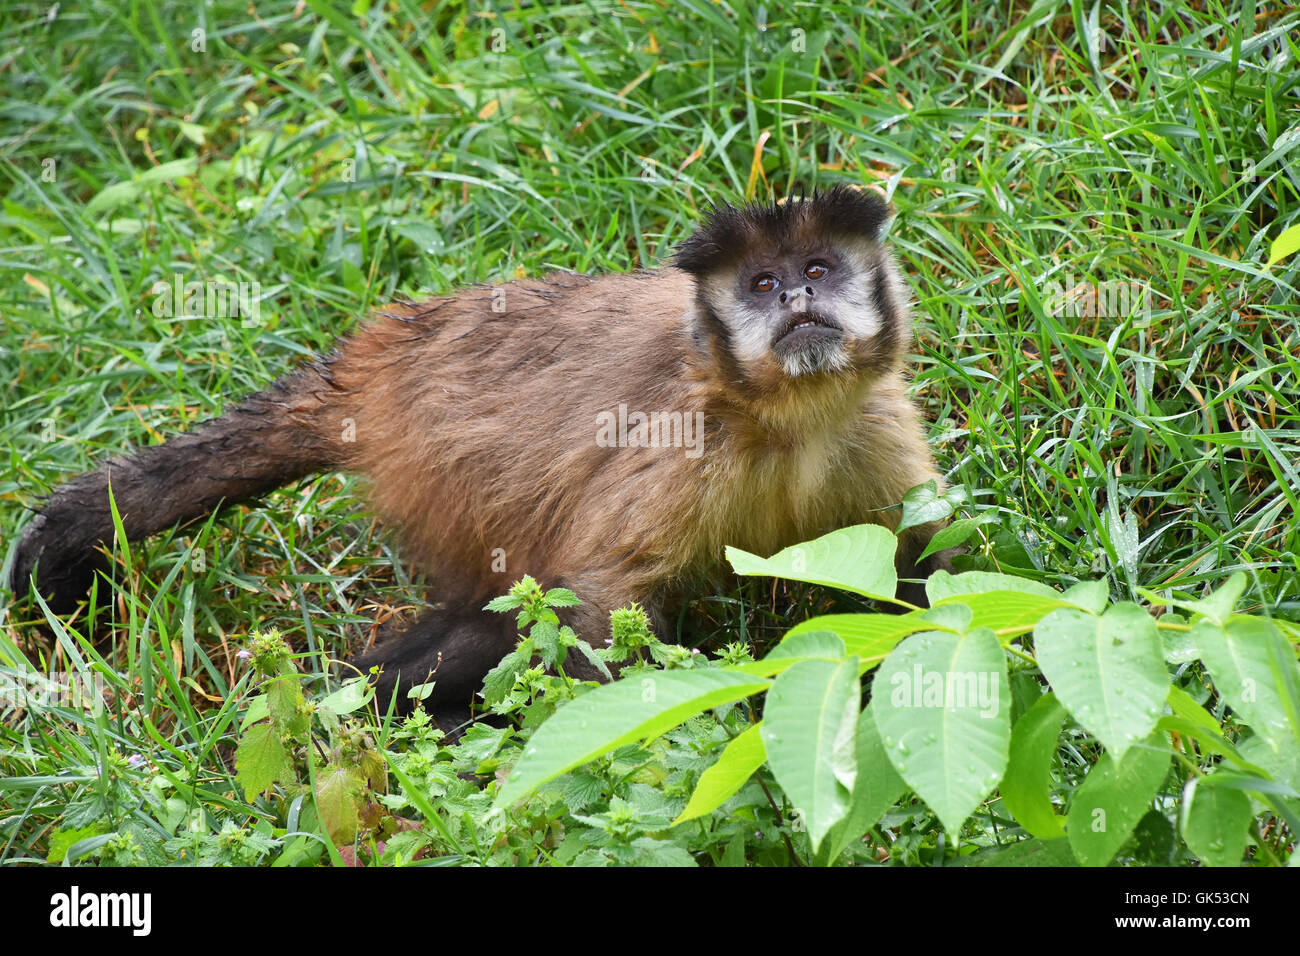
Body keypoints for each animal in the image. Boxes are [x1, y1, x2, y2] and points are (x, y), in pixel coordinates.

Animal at [9, 186, 953, 730]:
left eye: (818, 268)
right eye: (760, 285)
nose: (794, 297)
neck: (781, 415)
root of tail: (382, 361)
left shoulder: (873, 419)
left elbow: (919, 557)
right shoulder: (686, 444)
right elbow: (602, 596)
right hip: (446, 472)